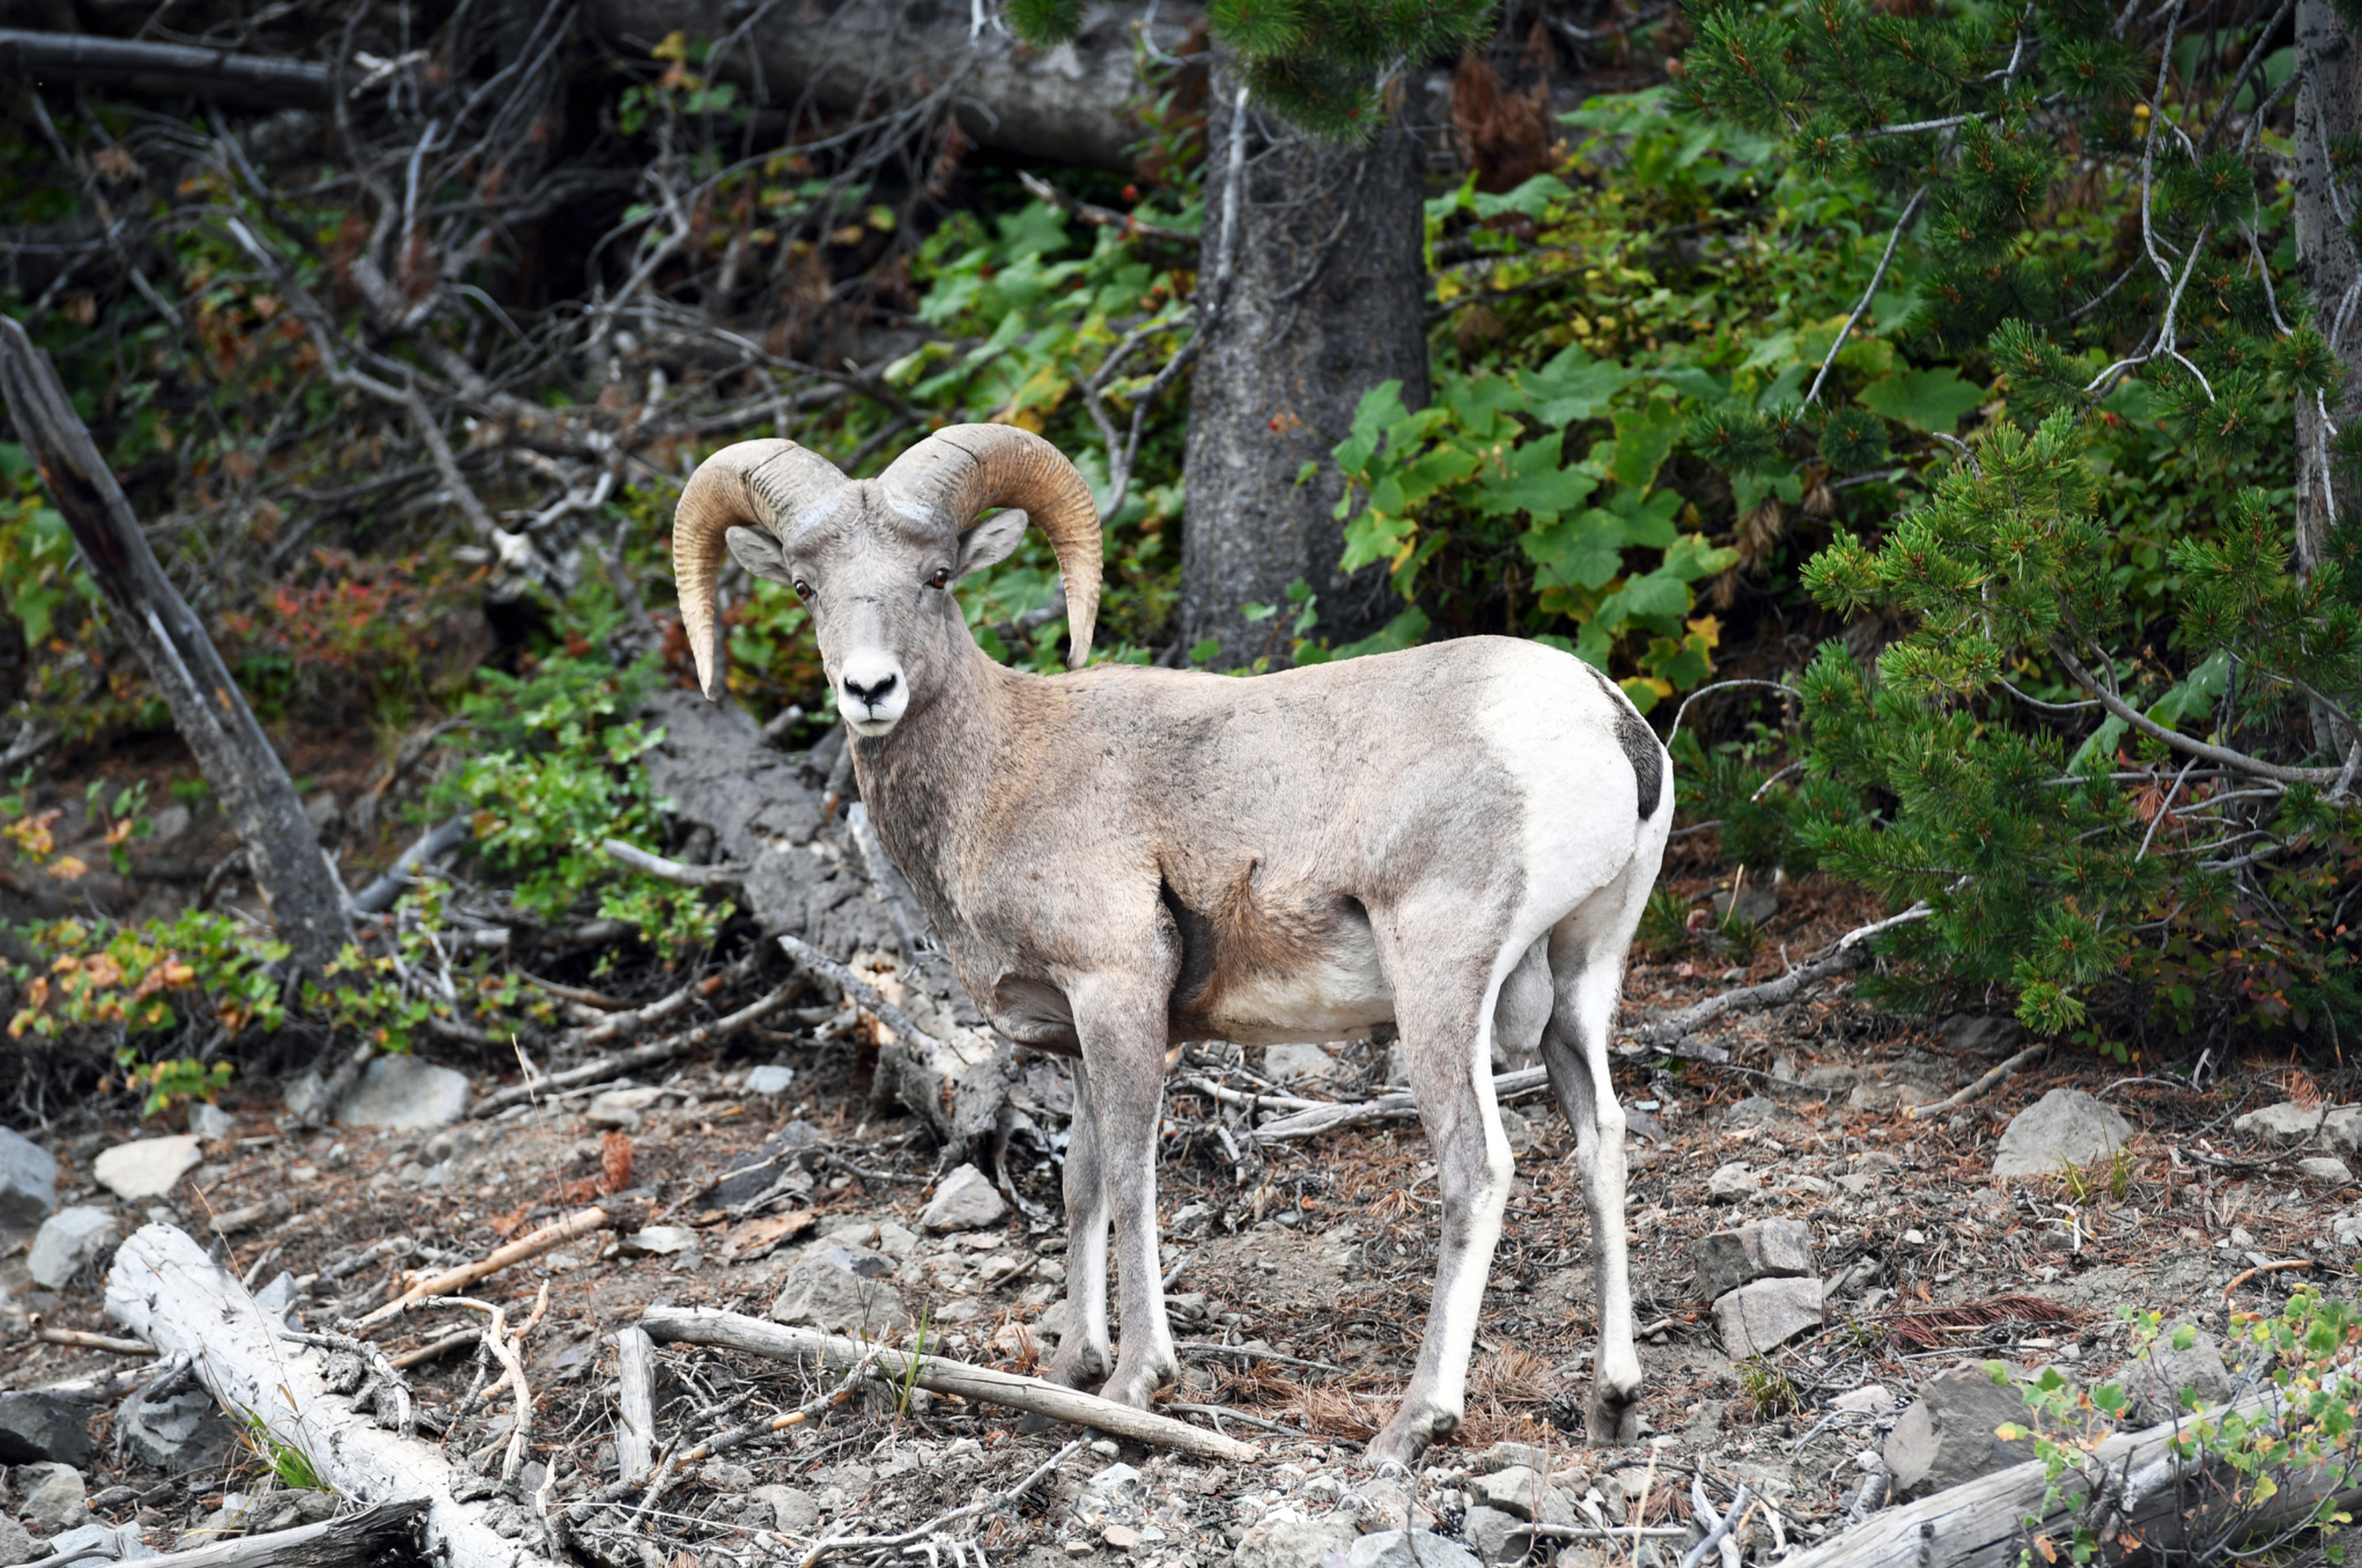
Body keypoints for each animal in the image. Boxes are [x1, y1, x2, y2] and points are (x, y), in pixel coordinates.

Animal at [672, 423, 1672, 1464]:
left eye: (936, 574)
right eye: (805, 586)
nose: (869, 688)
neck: (1002, 773)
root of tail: (1609, 723)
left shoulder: (1121, 995)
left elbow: (1130, 1176)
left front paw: (1133, 1382)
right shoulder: (1073, 1032)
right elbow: (1080, 1184)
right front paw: (1067, 1367)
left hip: (1440, 981)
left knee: (1475, 1169)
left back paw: (1410, 1424)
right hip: (1579, 983)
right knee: (1600, 1140)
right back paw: (1612, 1402)